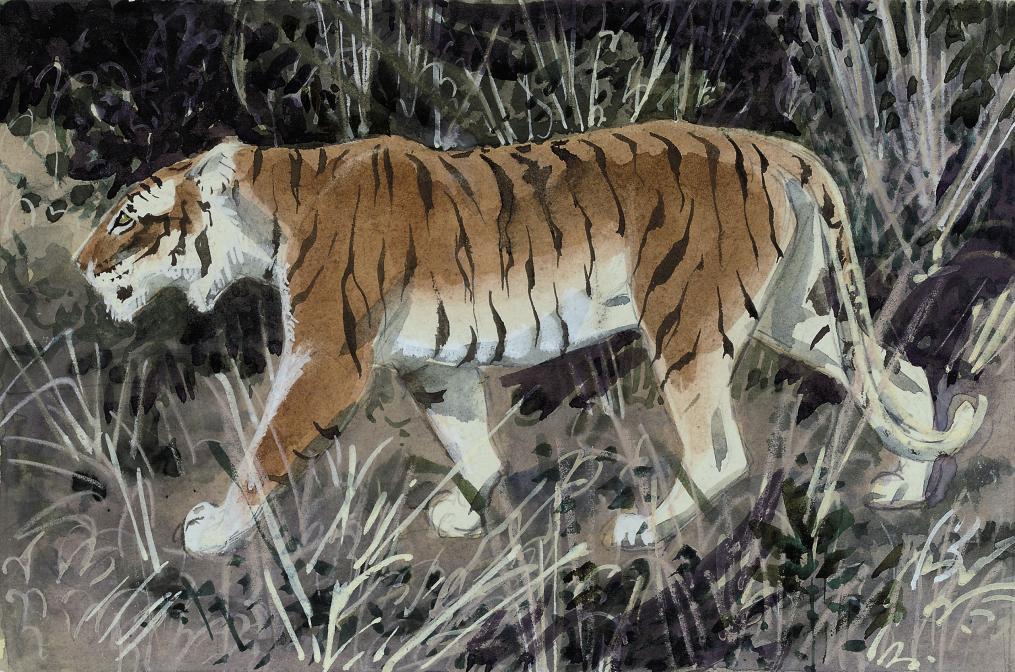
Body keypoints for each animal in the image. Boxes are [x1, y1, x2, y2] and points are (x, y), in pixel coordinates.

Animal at [75, 119, 985, 554]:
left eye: (125, 220)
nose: (82, 266)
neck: (270, 206)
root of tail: (776, 146)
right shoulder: (432, 365)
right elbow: (468, 436)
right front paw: (466, 508)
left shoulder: (327, 356)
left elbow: (265, 447)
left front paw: (212, 532)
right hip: (793, 310)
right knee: (898, 375)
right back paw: (907, 485)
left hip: (686, 319)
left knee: (719, 451)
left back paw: (645, 526)